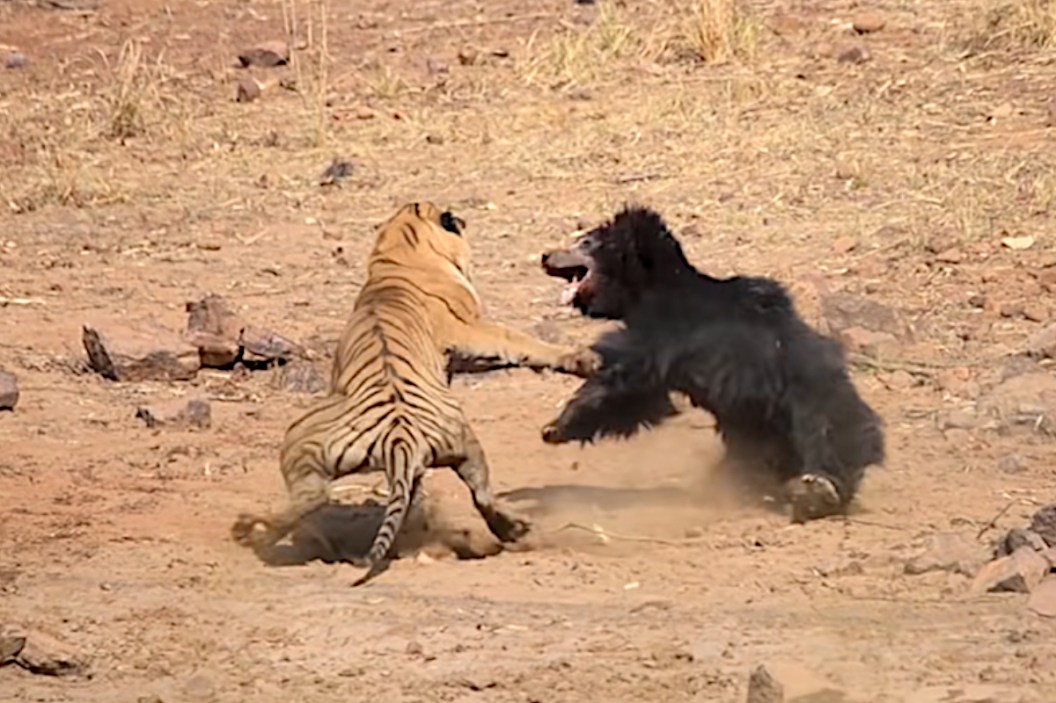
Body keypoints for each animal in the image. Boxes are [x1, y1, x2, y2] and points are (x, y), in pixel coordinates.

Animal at [231, 202, 600, 586]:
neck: (397, 255)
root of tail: (400, 435)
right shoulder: (471, 331)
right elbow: (521, 342)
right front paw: (582, 359)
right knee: (482, 496)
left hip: (317, 447)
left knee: (315, 497)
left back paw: (257, 531)